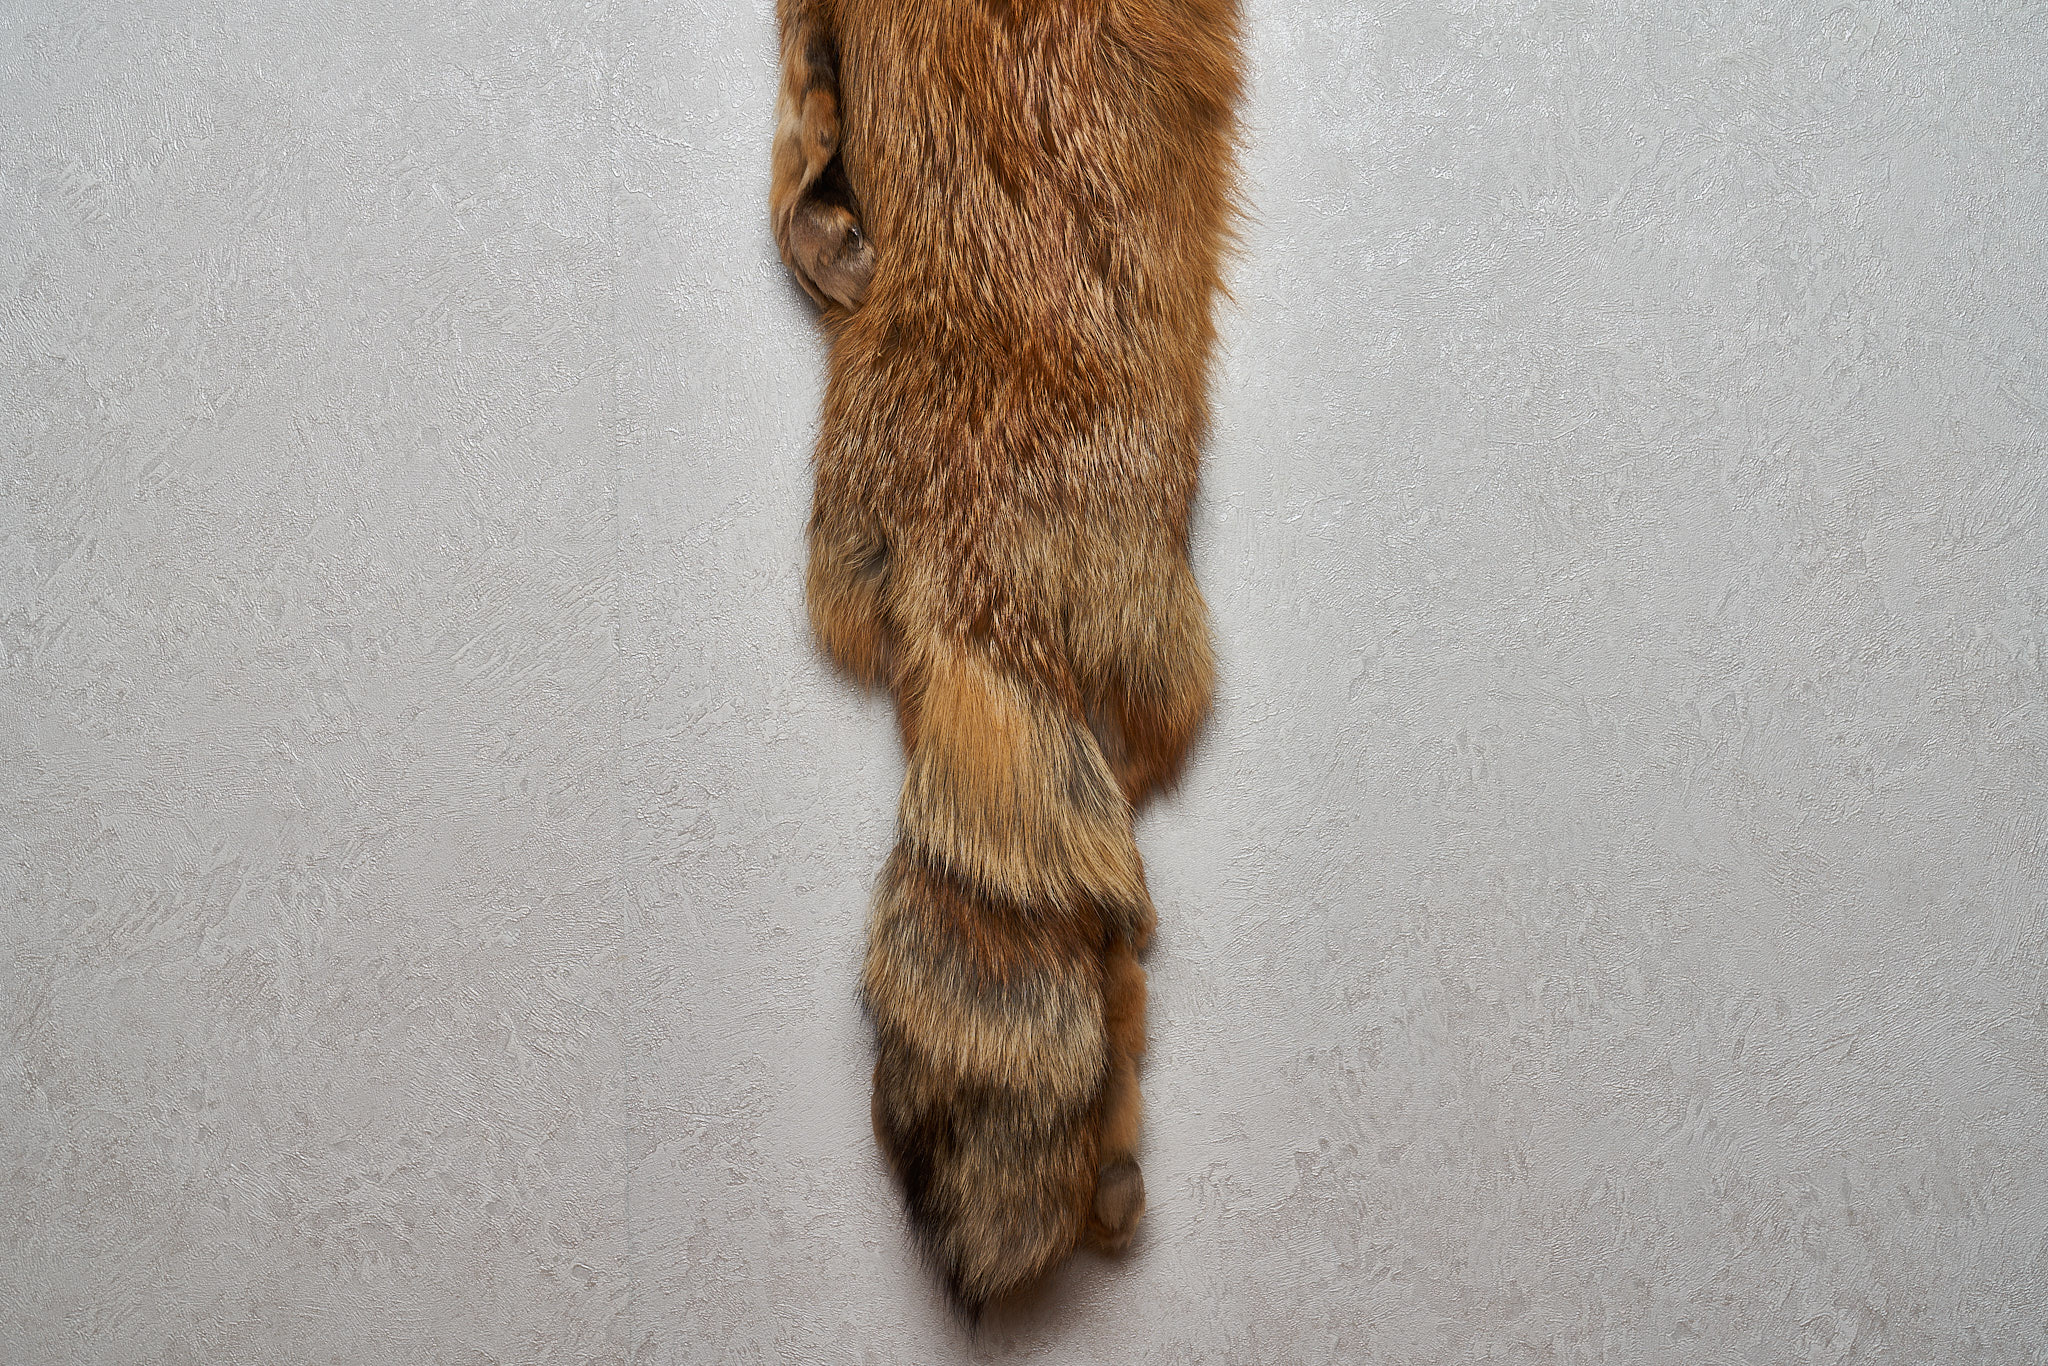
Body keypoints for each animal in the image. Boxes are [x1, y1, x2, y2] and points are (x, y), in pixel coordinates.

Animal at [769, 0, 1241, 1315]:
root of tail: (982, 591)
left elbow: (802, 110)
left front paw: (821, 214)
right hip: (1160, 681)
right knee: (1118, 921)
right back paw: (1114, 1177)